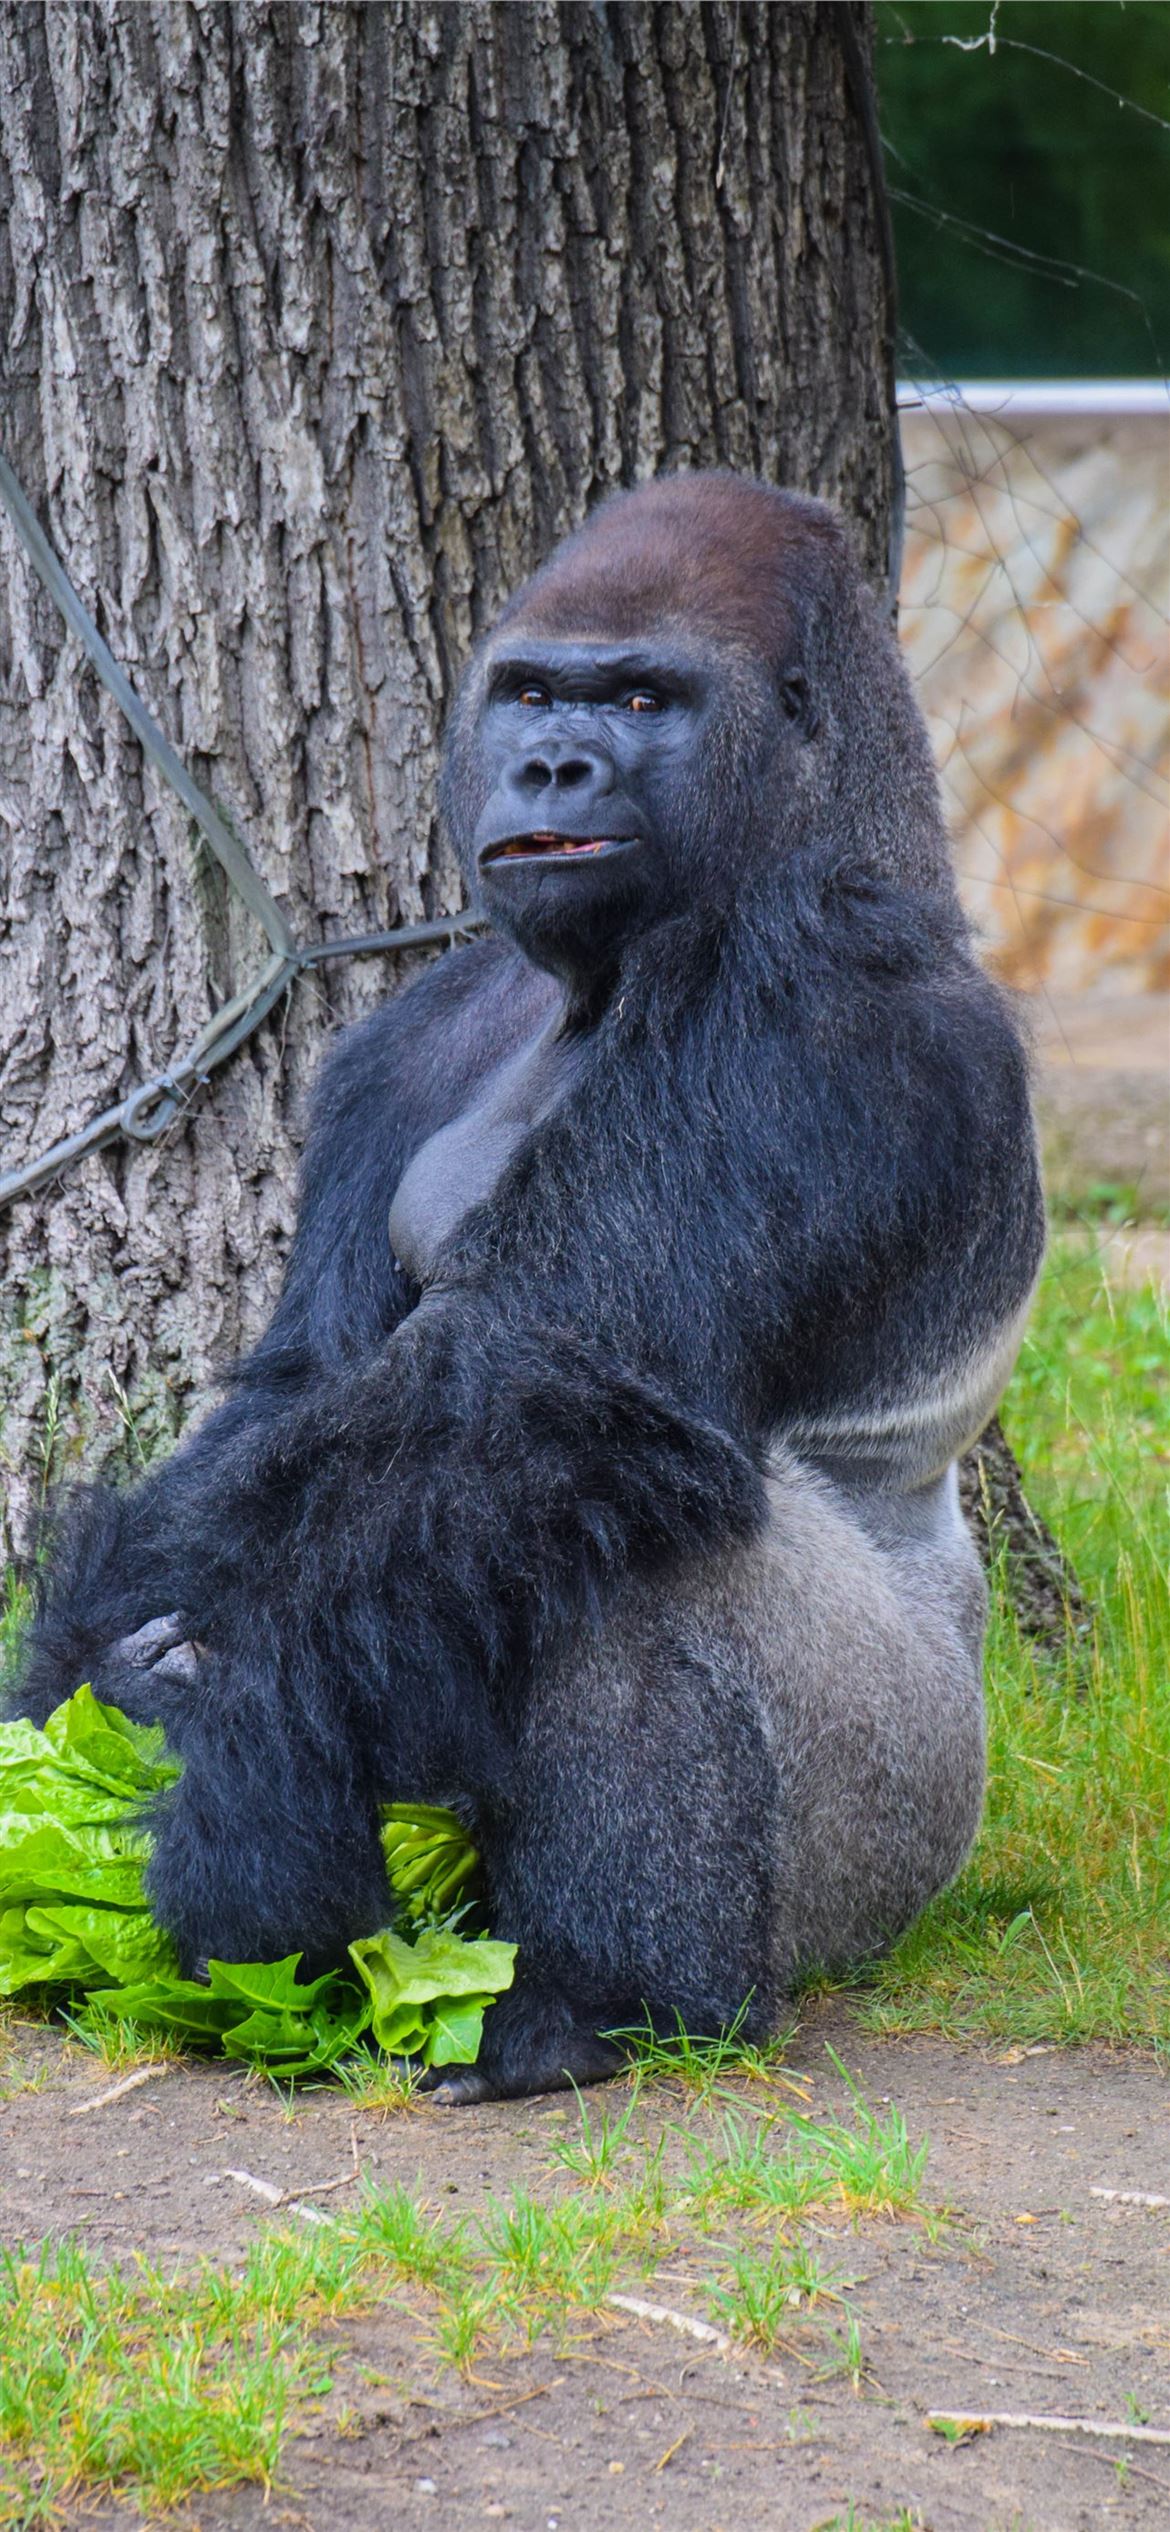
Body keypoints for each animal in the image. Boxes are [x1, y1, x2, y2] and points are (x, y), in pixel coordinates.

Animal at [13, 473, 1045, 2100]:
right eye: (534, 694)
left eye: (642, 699)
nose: (558, 762)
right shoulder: (416, 1031)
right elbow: (303, 1394)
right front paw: (76, 1672)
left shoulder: (819, 1002)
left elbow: (542, 1389)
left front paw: (242, 1766)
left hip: (900, 1833)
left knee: (603, 1508)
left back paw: (608, 2005)